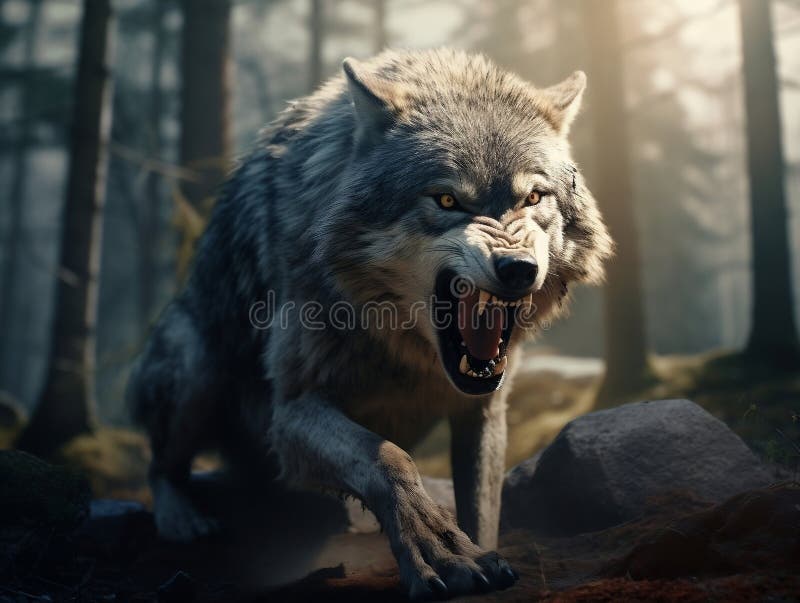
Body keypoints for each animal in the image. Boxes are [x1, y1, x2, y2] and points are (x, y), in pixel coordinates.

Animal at [128, 49, 612, 599]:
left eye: (533, 198)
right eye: (448, 200)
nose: (518, 269)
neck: (405, 353)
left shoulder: (484, 410)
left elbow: (483, 509)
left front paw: (477, 549)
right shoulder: (290, 413)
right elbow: (387, 459)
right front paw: (438, 550)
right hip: (196, 365)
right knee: (161, 465)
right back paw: (181, 518)